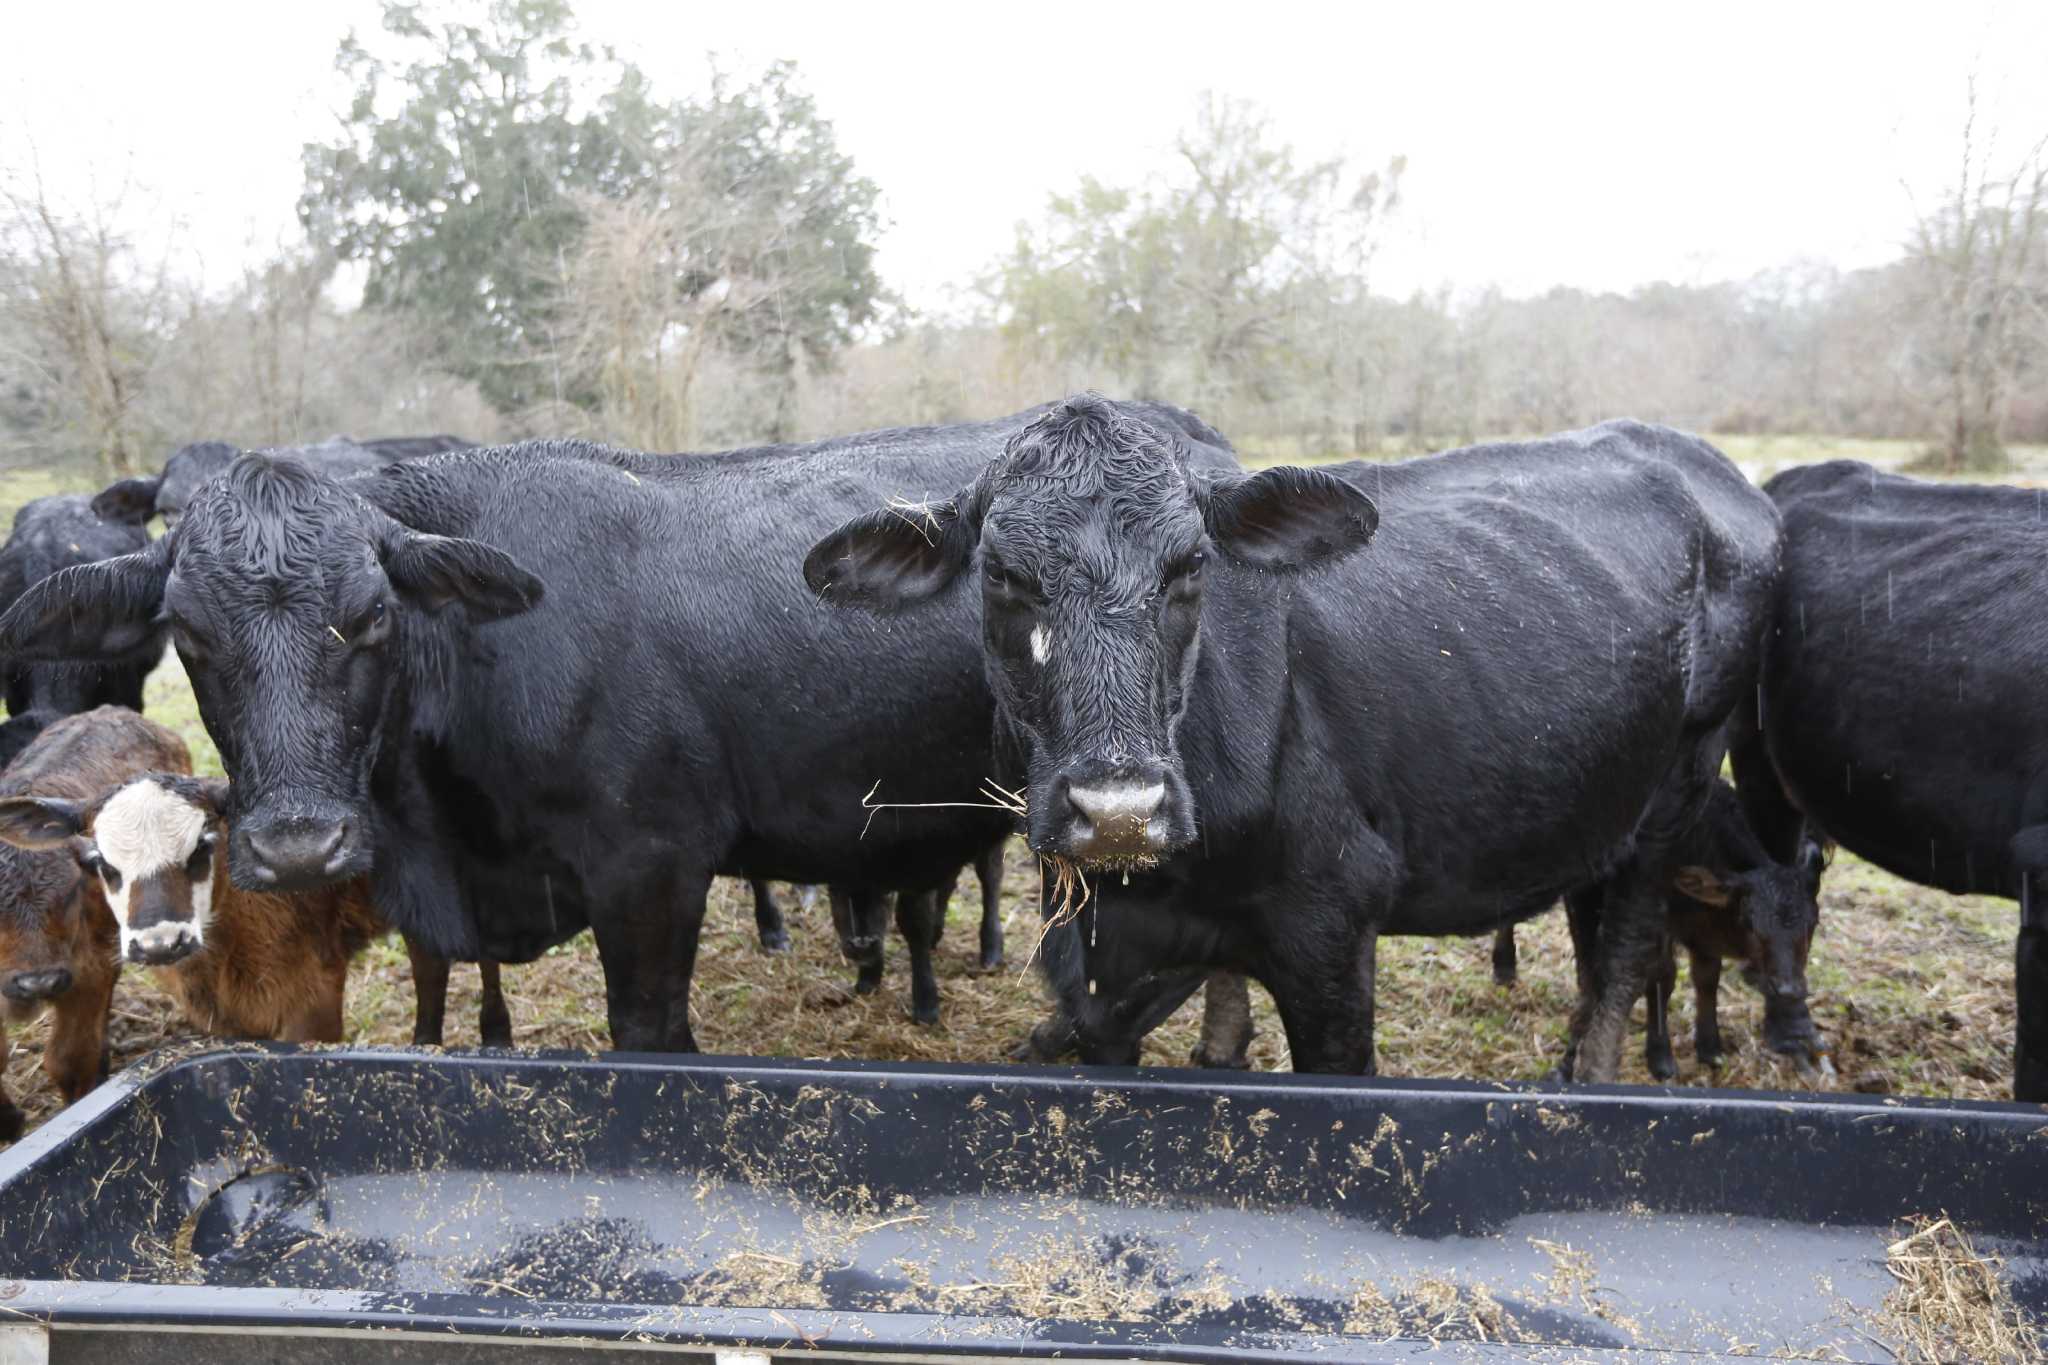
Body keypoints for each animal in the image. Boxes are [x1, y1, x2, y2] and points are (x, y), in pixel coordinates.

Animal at [806, 398, 1781, 1081]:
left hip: (1678, 787)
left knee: (1625, 952)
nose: (1118, 811)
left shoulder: (1334, 927)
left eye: (1190, 567)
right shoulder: (1102, 945)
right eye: (1005, 574)